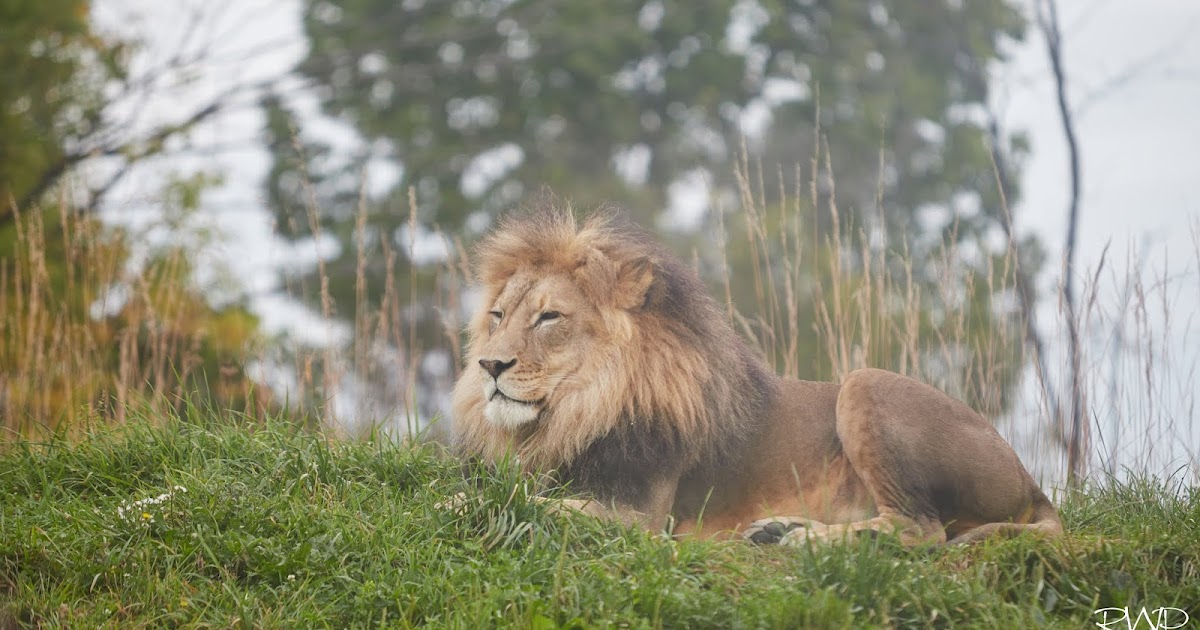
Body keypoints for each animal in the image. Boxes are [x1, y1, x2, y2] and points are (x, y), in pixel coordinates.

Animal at [450, 204, 1062, 546]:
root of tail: (1033, 483)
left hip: (867, 381)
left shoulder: (638, 517)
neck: (574, 411)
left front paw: (456, 505)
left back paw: (802, 540)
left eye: (549, 317)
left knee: (921, 530)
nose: (490, 365)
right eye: (498, 316)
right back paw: (777, 531)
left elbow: (530, 502)